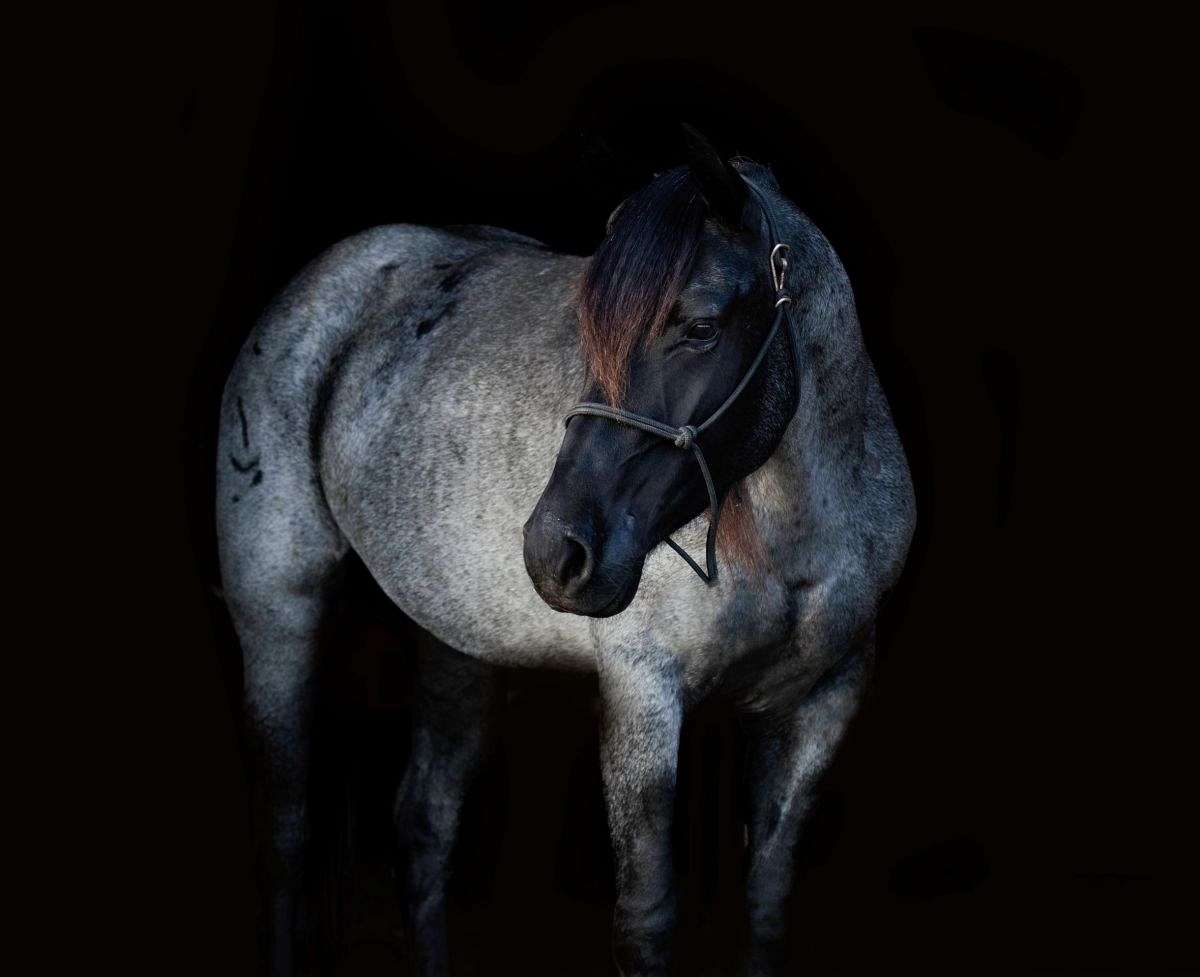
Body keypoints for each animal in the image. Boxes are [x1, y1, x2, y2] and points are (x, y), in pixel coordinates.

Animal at [216, 129, 915, 977]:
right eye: (592, 332)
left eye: (701, 326)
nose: (554, 550)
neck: (793, 543)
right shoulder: (644, 694)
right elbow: (646, 917)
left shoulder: (822, 700)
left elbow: (767, 900)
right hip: (278, 607)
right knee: (288, 831)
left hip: (457, 641)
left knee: (422, 824)